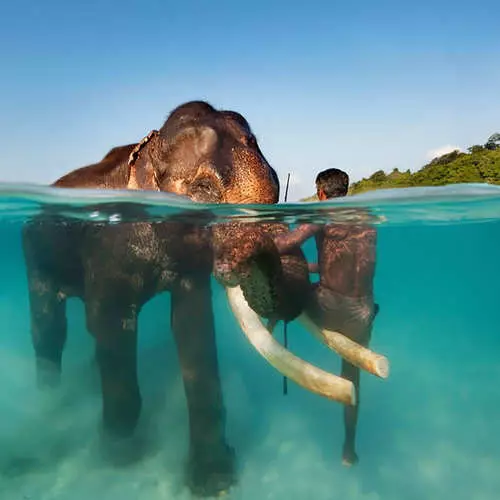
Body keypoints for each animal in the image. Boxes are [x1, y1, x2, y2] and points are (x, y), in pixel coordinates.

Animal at [20, 100, 356, 496]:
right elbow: (109, 321)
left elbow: (193, 324)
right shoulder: (107, 250)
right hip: (34, 256)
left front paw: (214, 480)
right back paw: (50, 403)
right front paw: (119, 454)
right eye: (203, 190)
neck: (147, 150)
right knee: (50, 328)